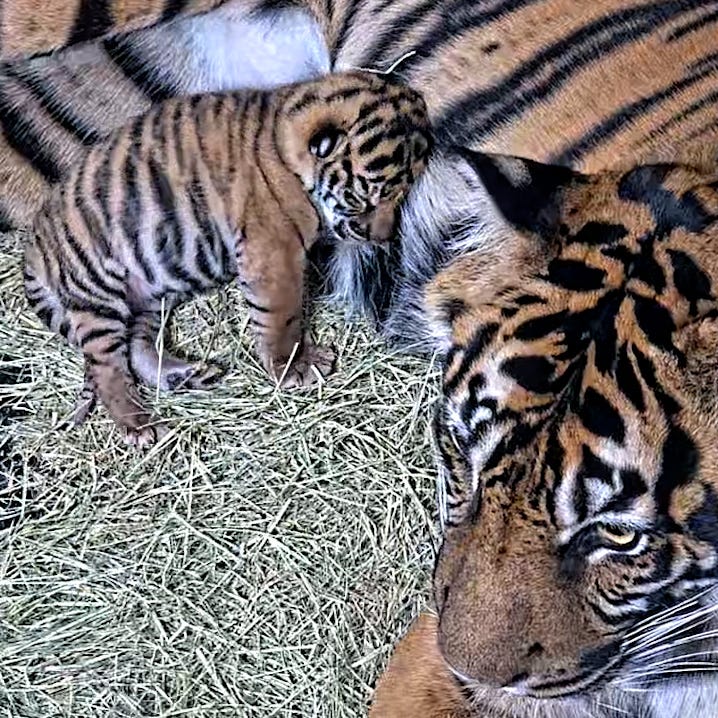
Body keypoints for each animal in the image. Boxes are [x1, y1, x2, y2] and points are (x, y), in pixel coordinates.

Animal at [23, 71, 431, 446]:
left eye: (403, 194)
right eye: (370, 197)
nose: (382, 237)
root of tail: (33, 247)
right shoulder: (273, 251)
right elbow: (280, 317)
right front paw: (294, 367)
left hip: (149, 297)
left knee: (137, 349)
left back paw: (186, 375)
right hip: (97, 293)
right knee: (107, 369)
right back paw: (140, 426)